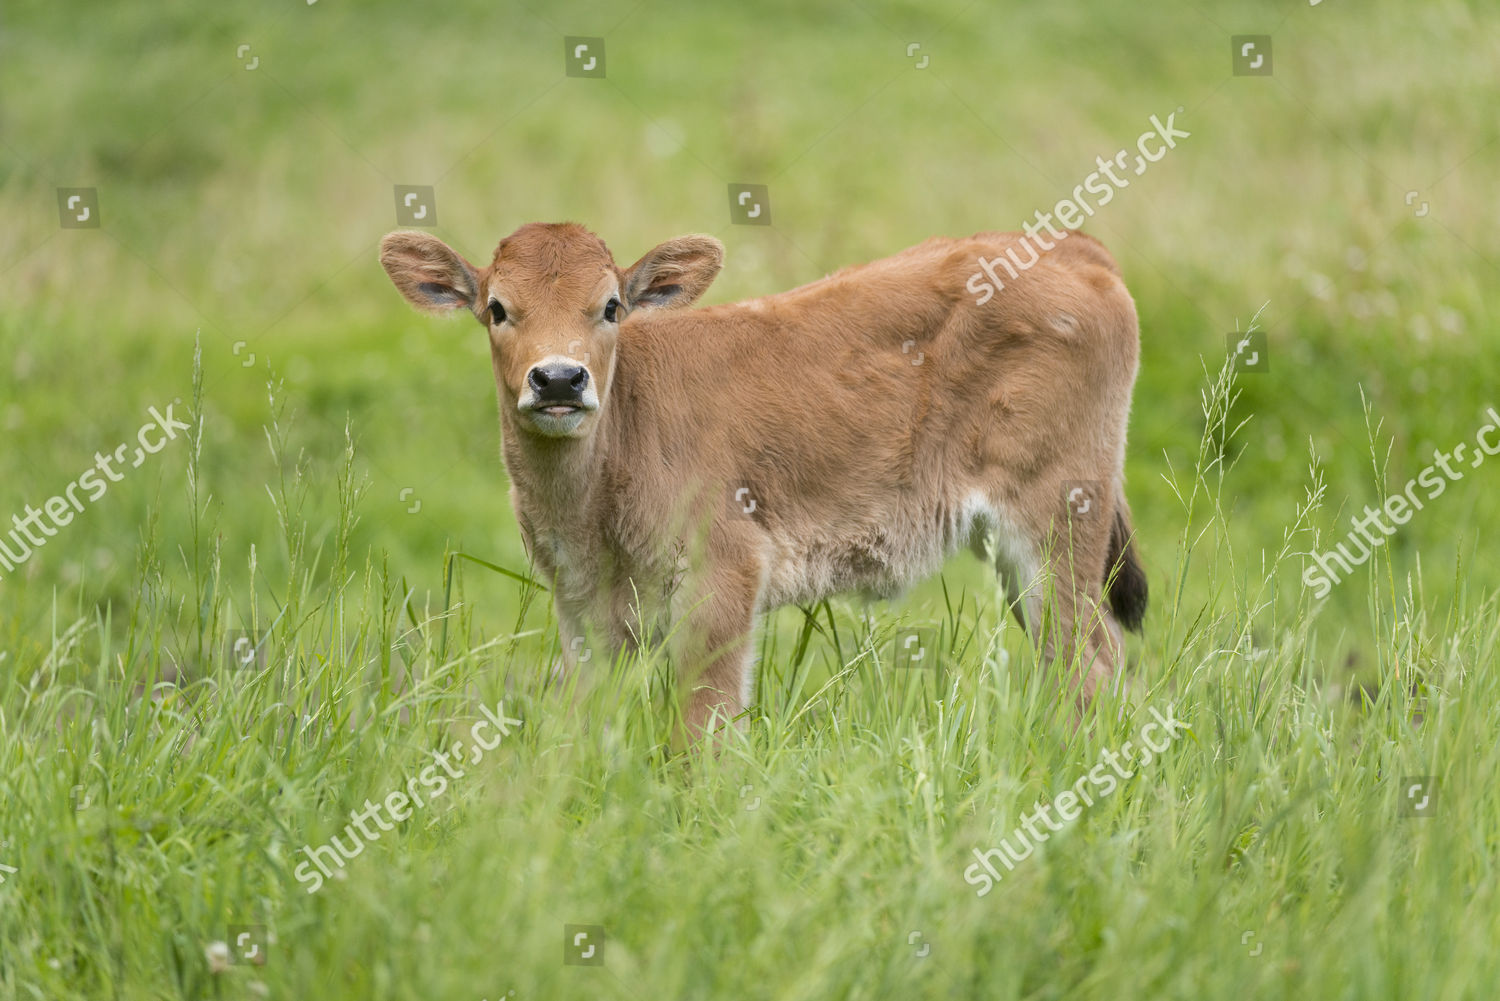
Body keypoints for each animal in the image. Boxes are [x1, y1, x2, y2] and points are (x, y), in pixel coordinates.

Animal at [379, 221, 1146, 738]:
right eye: (498, 308)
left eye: (611, 306)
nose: (561, 379)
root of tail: (1073, 246)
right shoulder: (582, 606)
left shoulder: (723, 578)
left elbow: (701, 731)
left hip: (1057, 516)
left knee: (1091, 662)